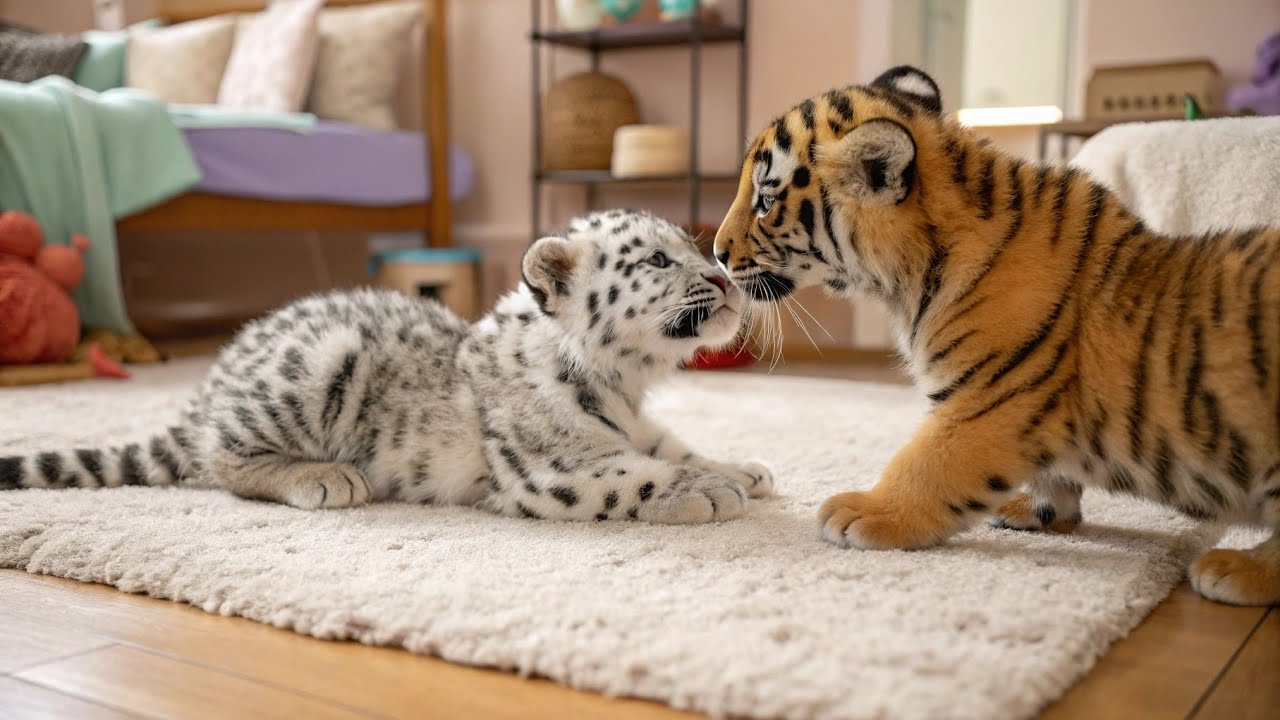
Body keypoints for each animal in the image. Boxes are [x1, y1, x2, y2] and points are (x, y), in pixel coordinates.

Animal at [712, 65, 1280, 606]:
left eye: (764, 201)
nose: (716, 252)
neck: (910, 274)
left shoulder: (986, 401)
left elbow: (926, 464)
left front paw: (867, 511)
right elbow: (1052, 473)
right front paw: (1040, 510)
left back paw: (1237, 568)